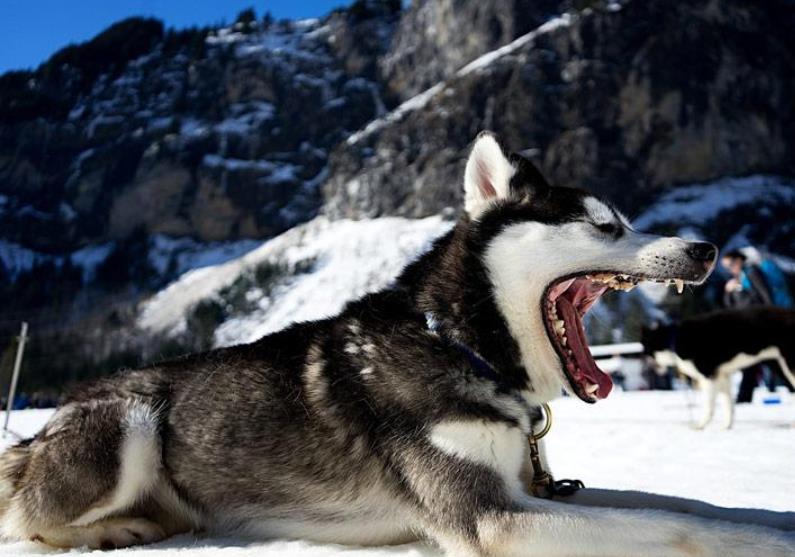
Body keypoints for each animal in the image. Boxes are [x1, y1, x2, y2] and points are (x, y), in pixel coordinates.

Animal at [644, 306, 795, 428]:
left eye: (647, 349)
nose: (645, 361)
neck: (674, 339)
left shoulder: (708, 378)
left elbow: (709, 406)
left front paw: (701, 425)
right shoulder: (723, 376)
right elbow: (728, 405)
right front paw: (727, 426)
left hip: (787, 368)